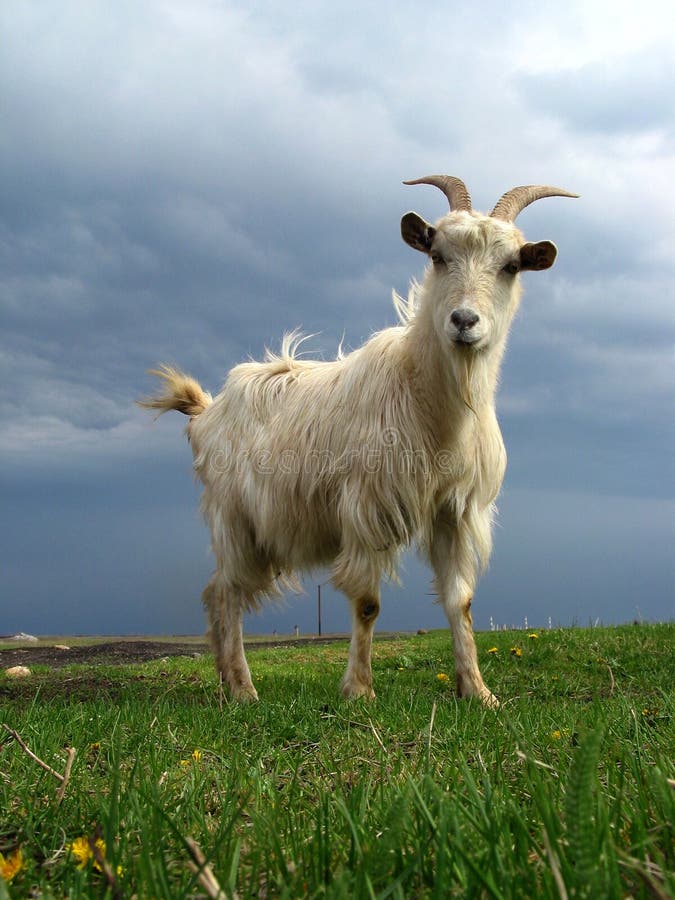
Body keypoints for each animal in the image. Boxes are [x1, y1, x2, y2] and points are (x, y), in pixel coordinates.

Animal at [140, 175, 577, 705]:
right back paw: (244, 689)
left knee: (216, 594)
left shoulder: (454, 510)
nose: (464, 321)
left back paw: (227, 682)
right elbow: (368, 603)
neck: (433, 404)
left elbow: (461, 601)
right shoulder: (367, 506)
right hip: (236, 520)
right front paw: (359, 690)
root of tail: (206, 411)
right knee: (225, 594)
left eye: (511, 266)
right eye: (437, 255)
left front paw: (477, 690)